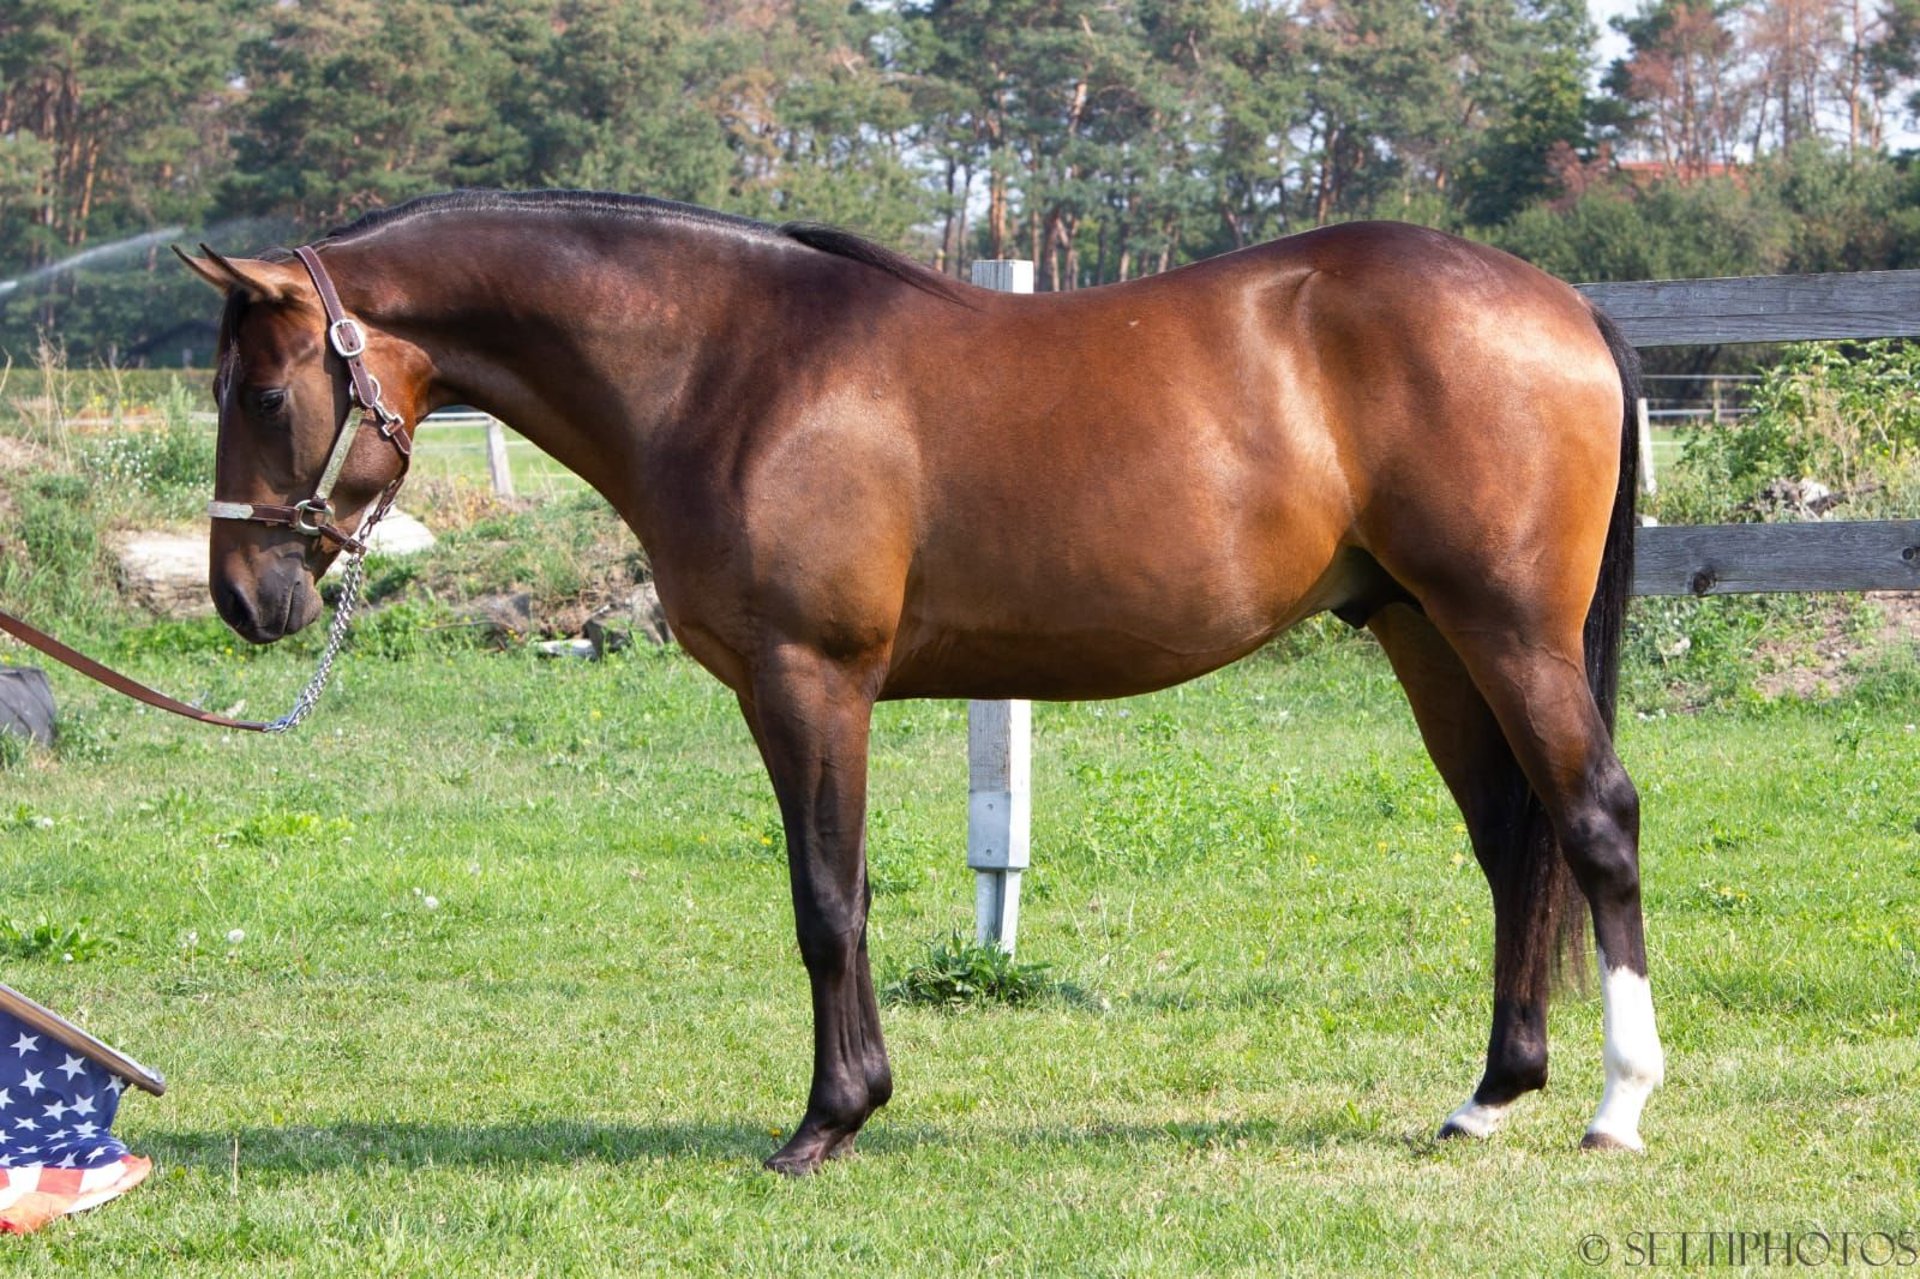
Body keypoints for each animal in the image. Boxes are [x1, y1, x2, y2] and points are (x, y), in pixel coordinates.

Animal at [178, 190, 1662, 1175]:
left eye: (263, 393)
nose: (246, 599)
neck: (730, 367)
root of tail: (1564, 304)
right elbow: (828, 895)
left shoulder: (808, 681)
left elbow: (829, 899)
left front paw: (831, 1117)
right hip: (1423, 630)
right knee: (1514, 839)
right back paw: (1491, 1093)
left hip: (1507, 626)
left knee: (1596, 819)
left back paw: (1617, 1102)